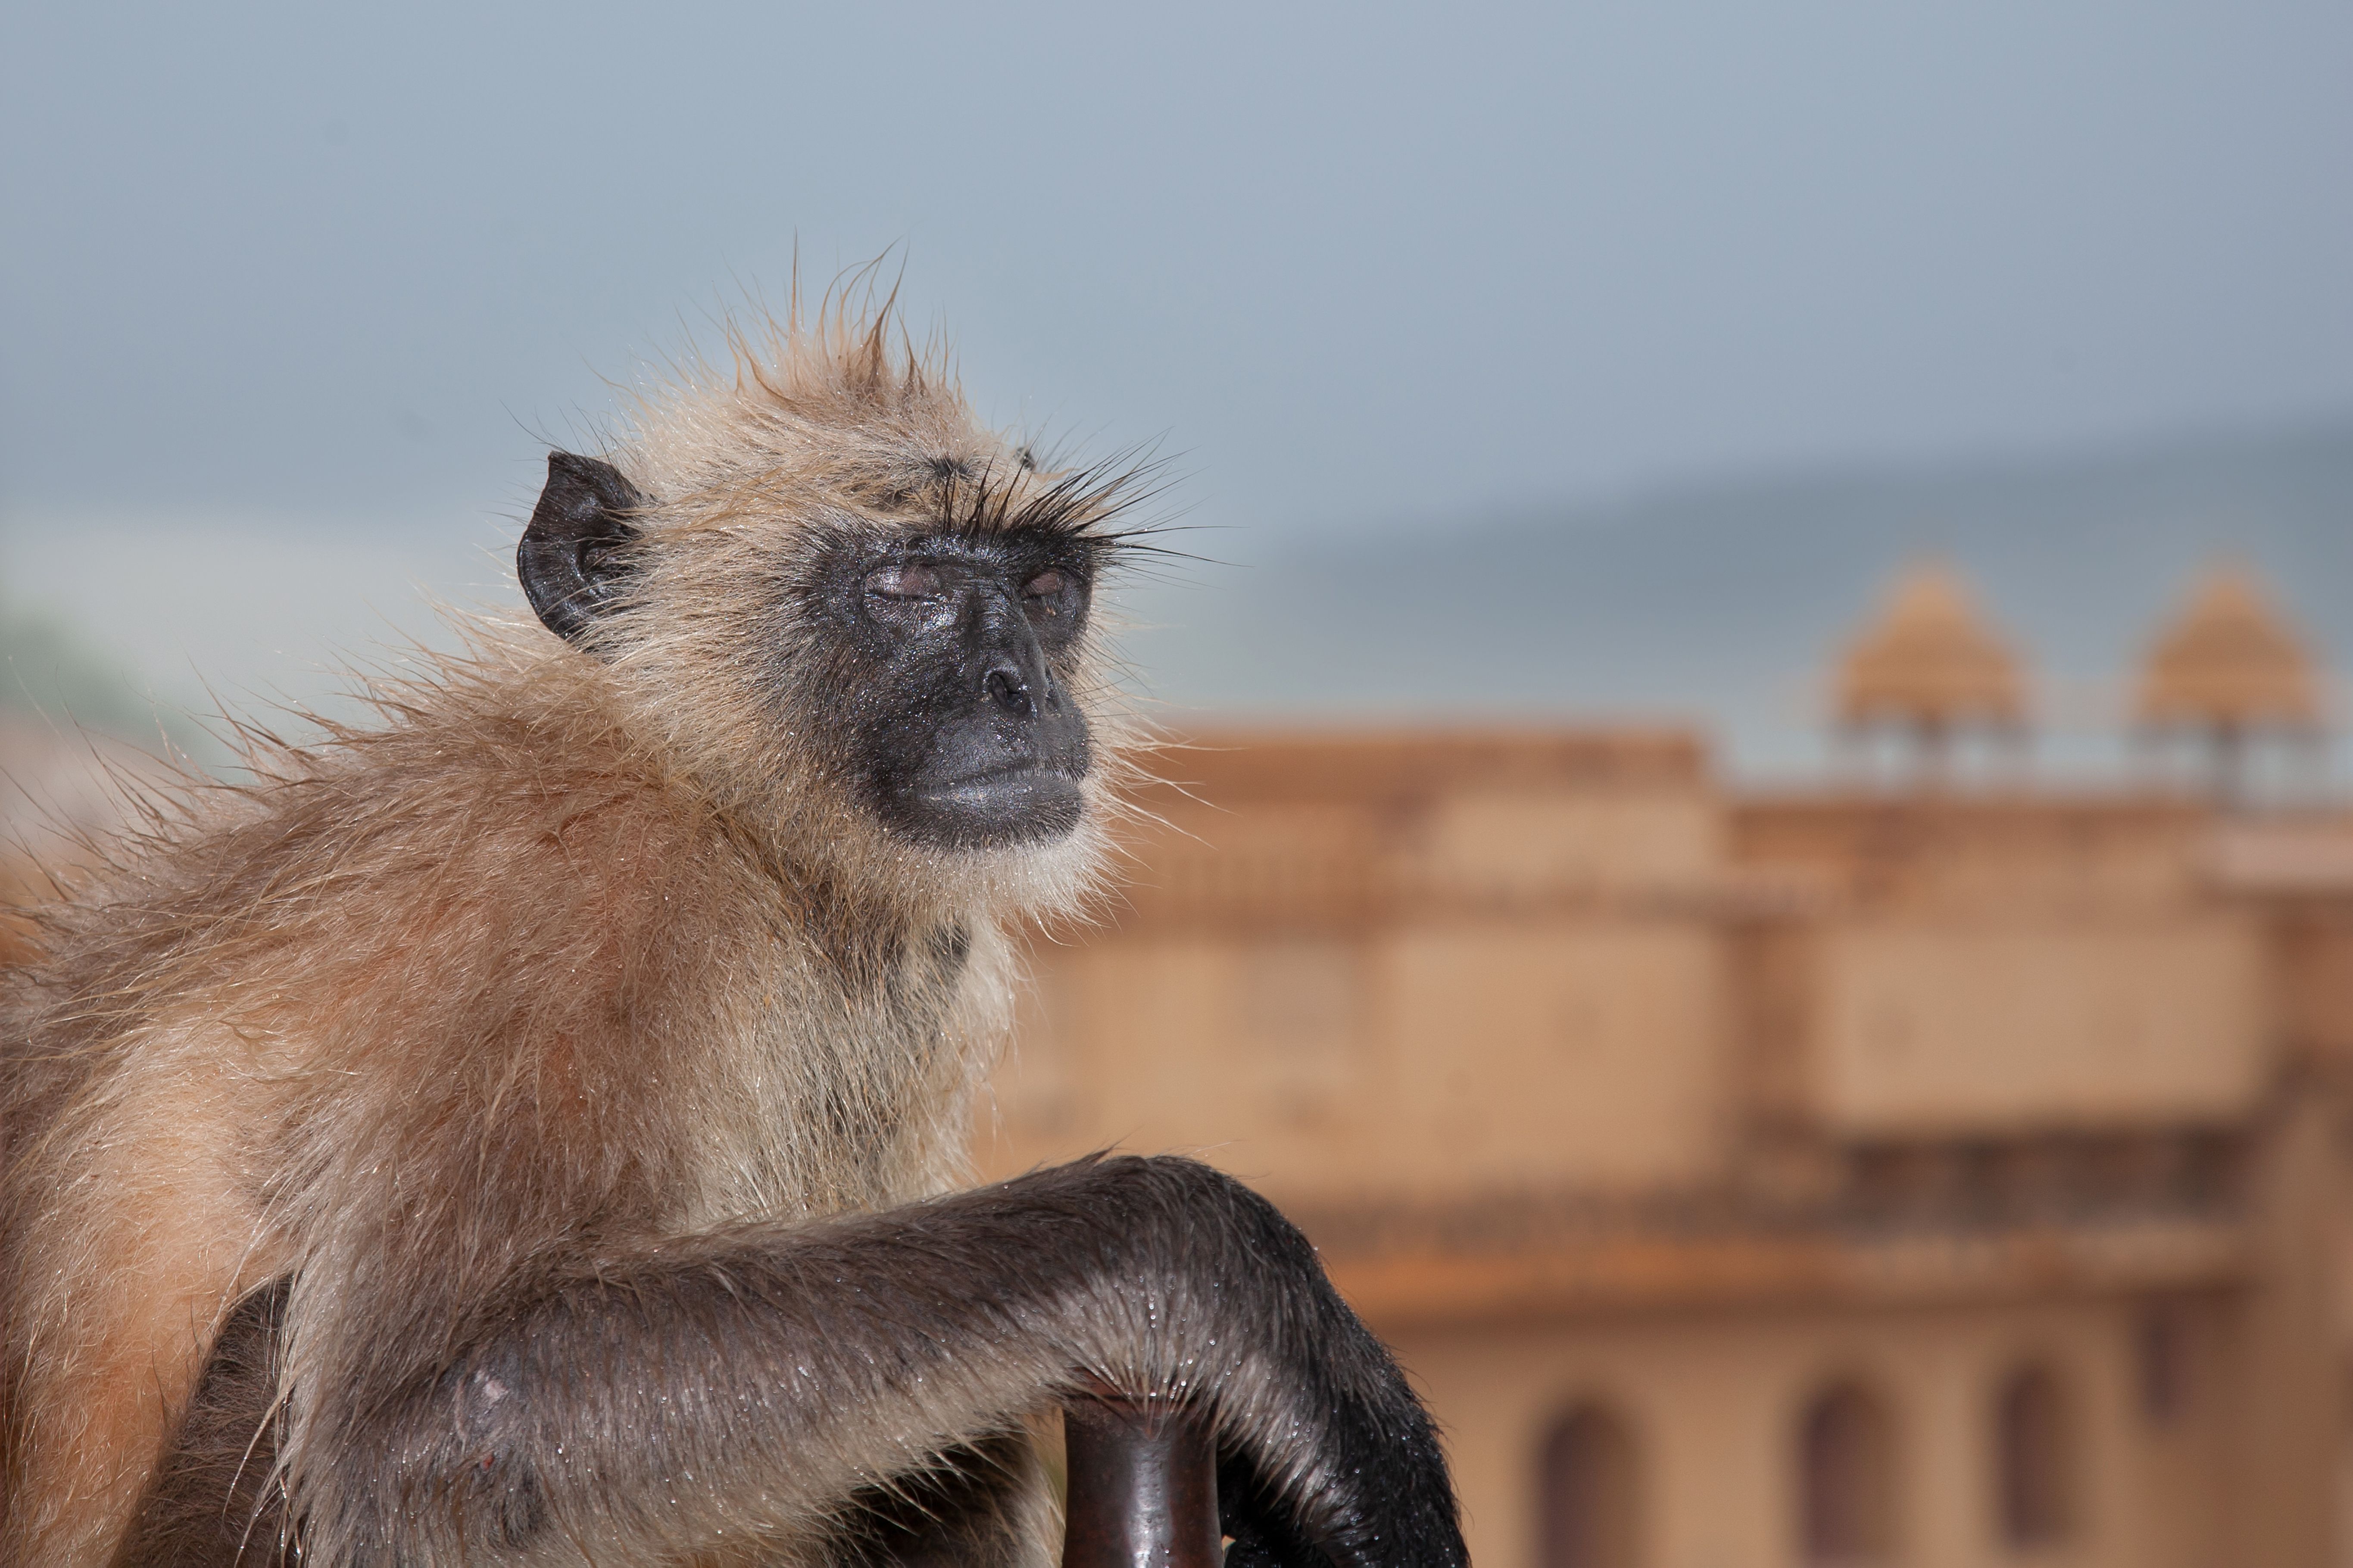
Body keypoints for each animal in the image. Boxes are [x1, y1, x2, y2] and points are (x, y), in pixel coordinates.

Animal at [0, 310, 1465, 1568]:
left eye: (1045, 590)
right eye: (905, 584)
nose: (1022, 690)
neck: (719, 803)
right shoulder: (572, 893)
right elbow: (427, 1426)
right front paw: (1235, 1287)